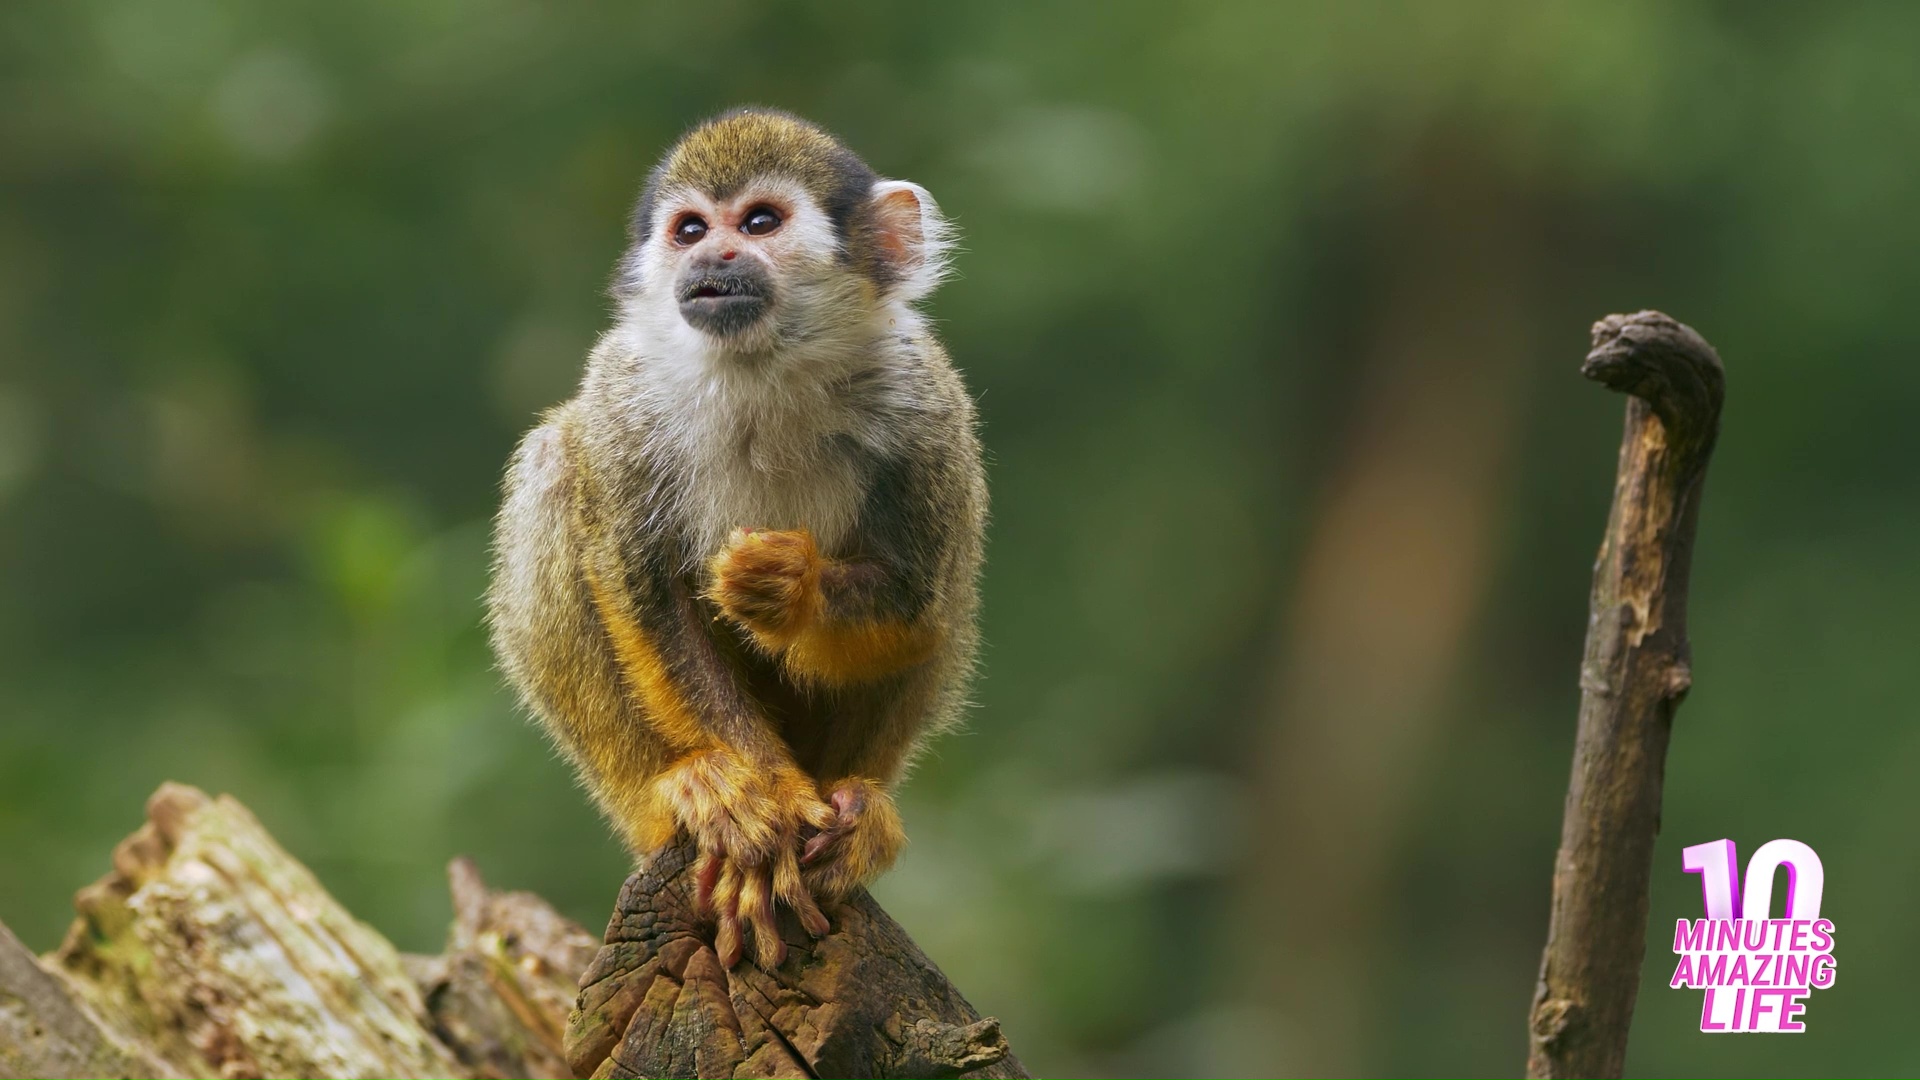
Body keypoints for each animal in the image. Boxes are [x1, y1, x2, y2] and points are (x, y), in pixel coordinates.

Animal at [486, 108, 984, 971]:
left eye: (759, 222)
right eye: (690, 230)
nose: (712, 256)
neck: (762, 364)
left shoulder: (926, 402)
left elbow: (917, 604)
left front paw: (791, 587)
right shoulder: (625, 387)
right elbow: (643, 590)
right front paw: (759, 798)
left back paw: (858, 809)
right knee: (557, 465)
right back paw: (684, 792)